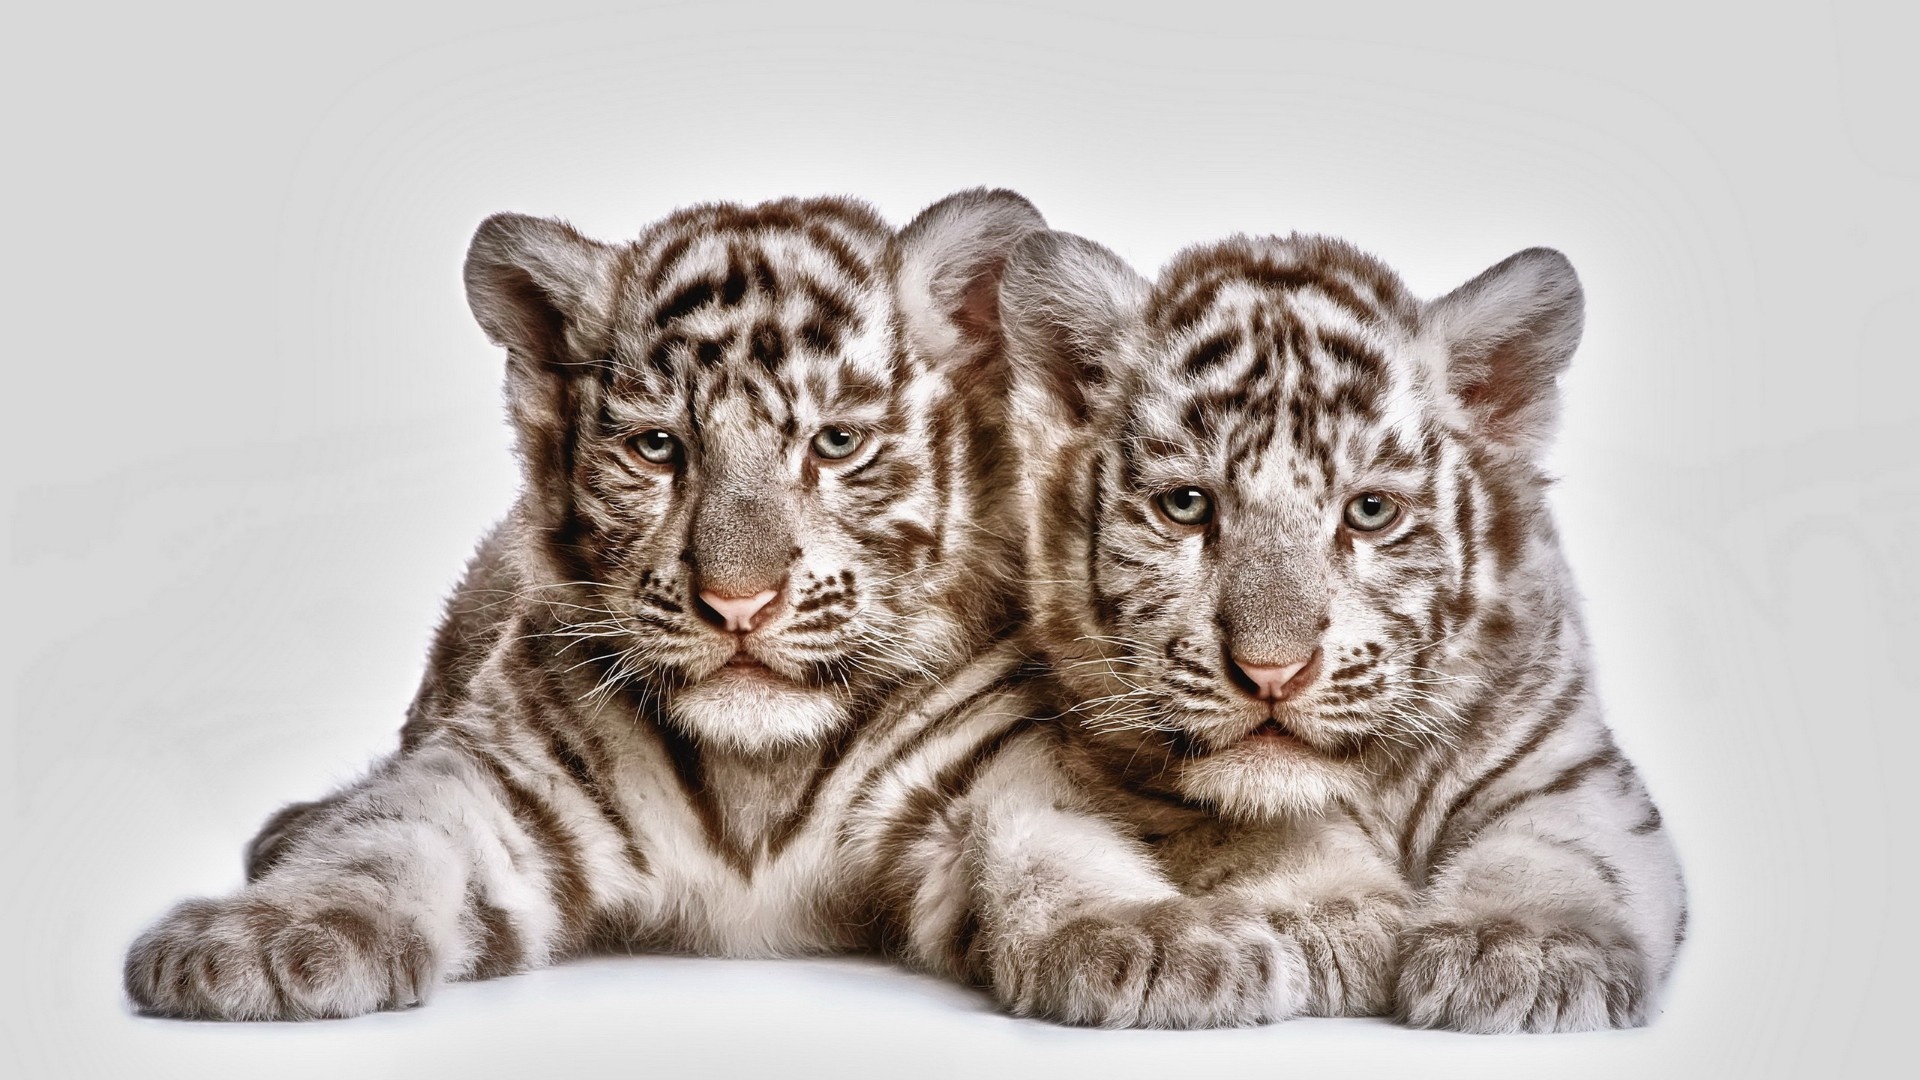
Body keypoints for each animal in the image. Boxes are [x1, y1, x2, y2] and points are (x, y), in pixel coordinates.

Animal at [981, 226, 1688, 1033]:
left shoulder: (1573, 765)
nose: (1272, 672)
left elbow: (1564, 847)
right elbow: (1253, 829)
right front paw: (1332, 918)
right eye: (1187, 505)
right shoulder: (1126, 774)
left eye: (1370, 511)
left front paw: (1524, 950)